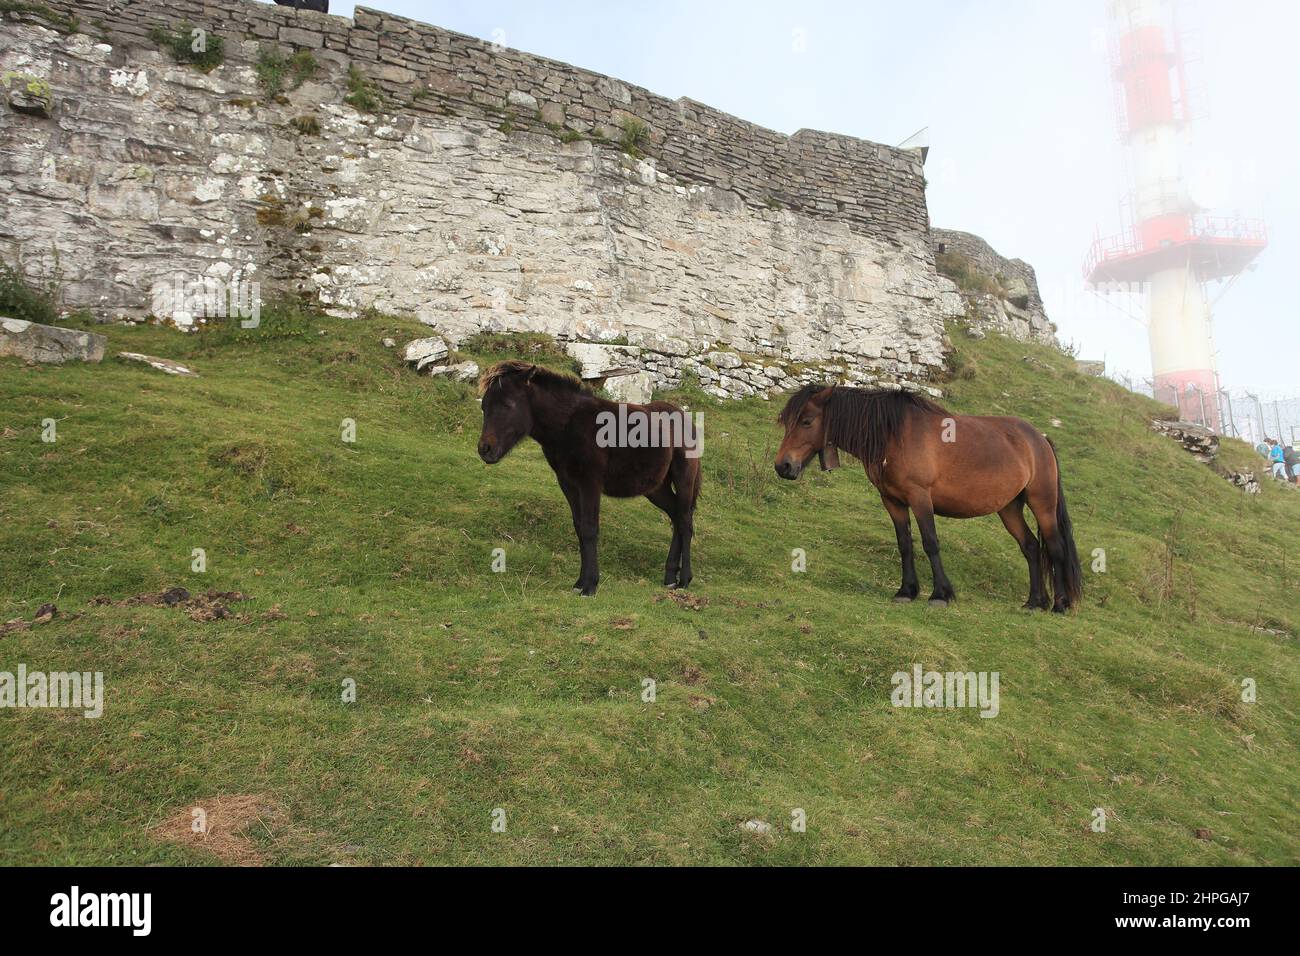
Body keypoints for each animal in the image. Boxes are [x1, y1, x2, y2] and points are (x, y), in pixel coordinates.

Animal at [477, 360, 702, 596]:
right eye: (484, 407)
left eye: (508, 405)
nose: (485, 450)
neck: (568, 425)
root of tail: (685, 419)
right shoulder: (568, 484)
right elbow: (580, 529)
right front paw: (579, 583)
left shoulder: (590, 484)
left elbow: (590, 529)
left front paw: (590, 586)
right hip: (656, 488)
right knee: (676, 517)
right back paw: (670, 577)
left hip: (684, 479)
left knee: (685, 522)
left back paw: (684, 579)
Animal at [774, 384, 1082, 612]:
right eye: (788, 421)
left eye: (806, 421)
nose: (783, 466)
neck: (894, 435)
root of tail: (1040, 439)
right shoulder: (893, 501)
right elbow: (904, 544)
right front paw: (906, 591)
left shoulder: (920, 497)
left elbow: (930, 543)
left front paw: (940, 594)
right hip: (1009, 508)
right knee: (1030, 547)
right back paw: (1034, 602)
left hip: (1042, 503)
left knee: (1055, 549)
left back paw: (1059, 604)